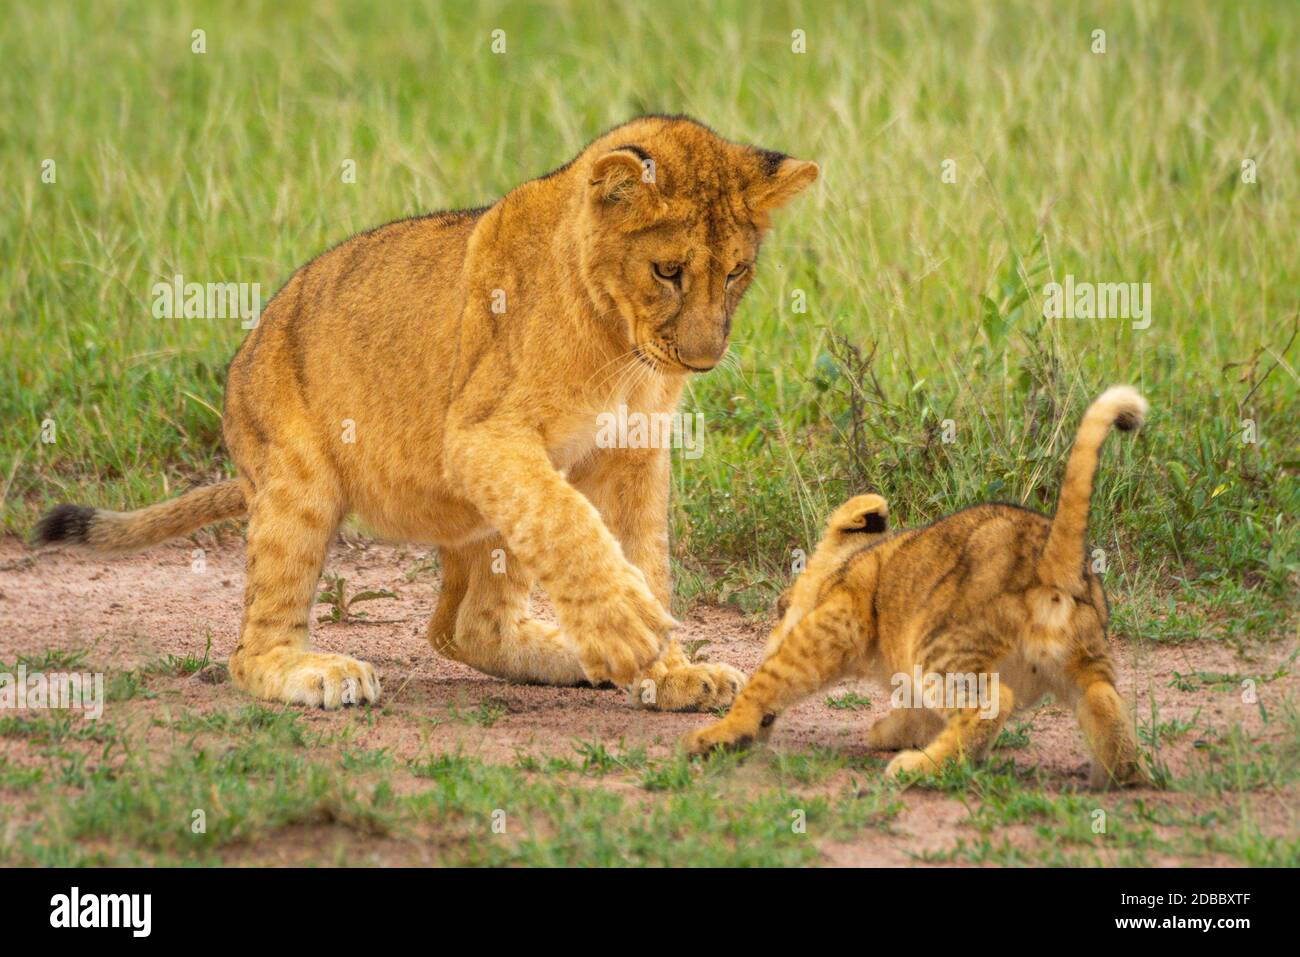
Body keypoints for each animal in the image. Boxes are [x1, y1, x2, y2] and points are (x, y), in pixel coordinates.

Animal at [34, 115, 818, 713]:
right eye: (667, 271)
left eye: (736, 272)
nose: (703, 361)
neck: (621, 345)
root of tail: (248, 347)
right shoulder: (481, 435)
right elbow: (571, 526)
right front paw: (629, 631)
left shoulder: (631, 452)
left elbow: (643, 555)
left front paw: (669, 671)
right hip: (298, 481)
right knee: (250, 647)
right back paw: (317, 671)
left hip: (484, 520)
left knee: (465, 627)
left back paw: (576, 655)